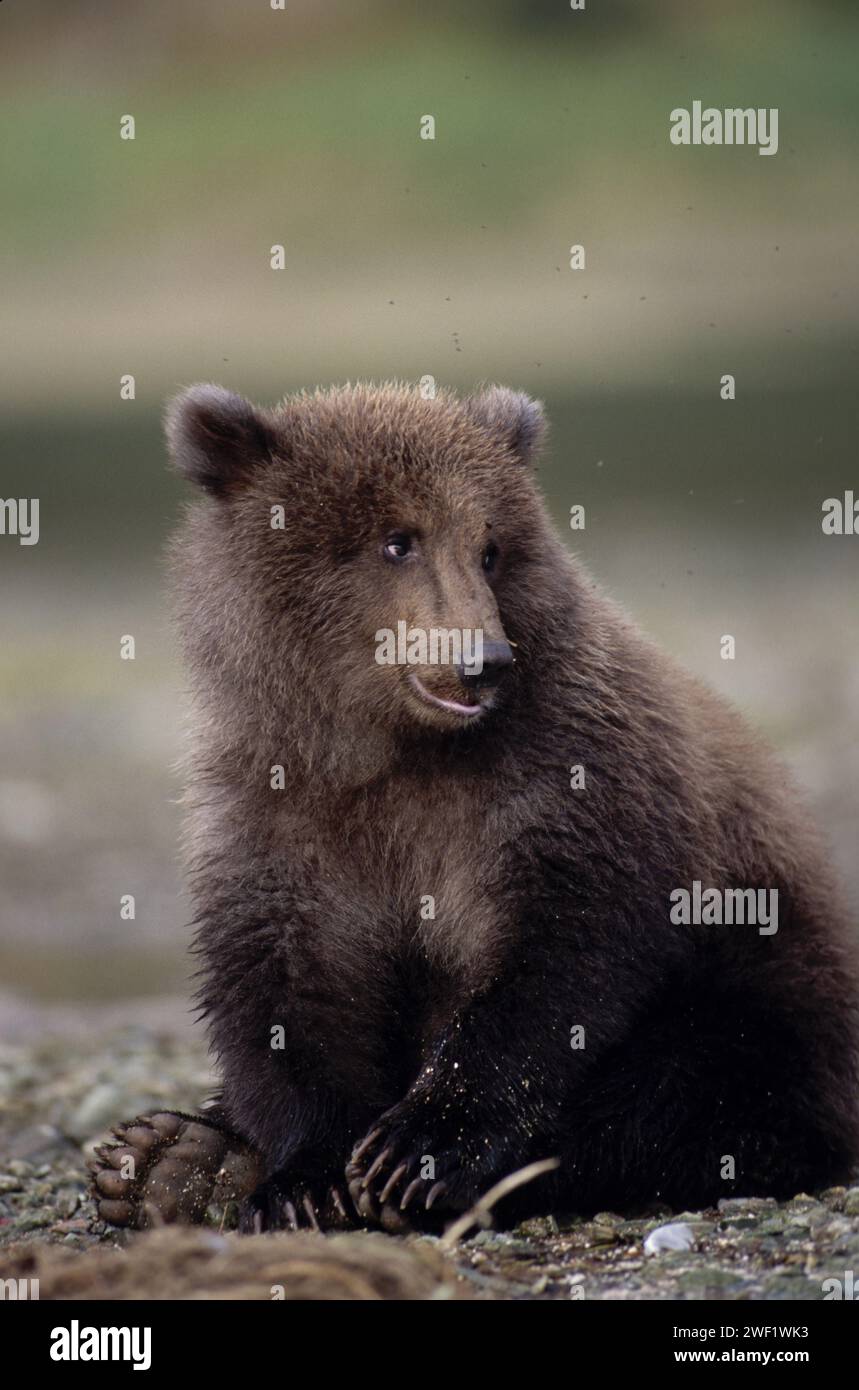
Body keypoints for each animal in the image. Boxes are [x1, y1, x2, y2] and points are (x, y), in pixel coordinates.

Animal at [92, 381, 859, 1234]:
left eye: (489, 546)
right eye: (397, 540)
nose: (480, 660)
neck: (390, 748)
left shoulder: (565, 778)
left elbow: (554, 962)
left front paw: (414, 1153)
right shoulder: (275, 810)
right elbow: (289, 985)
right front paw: (301, 1178)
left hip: (770, 994)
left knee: (680, 1094)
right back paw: (164, 1156)